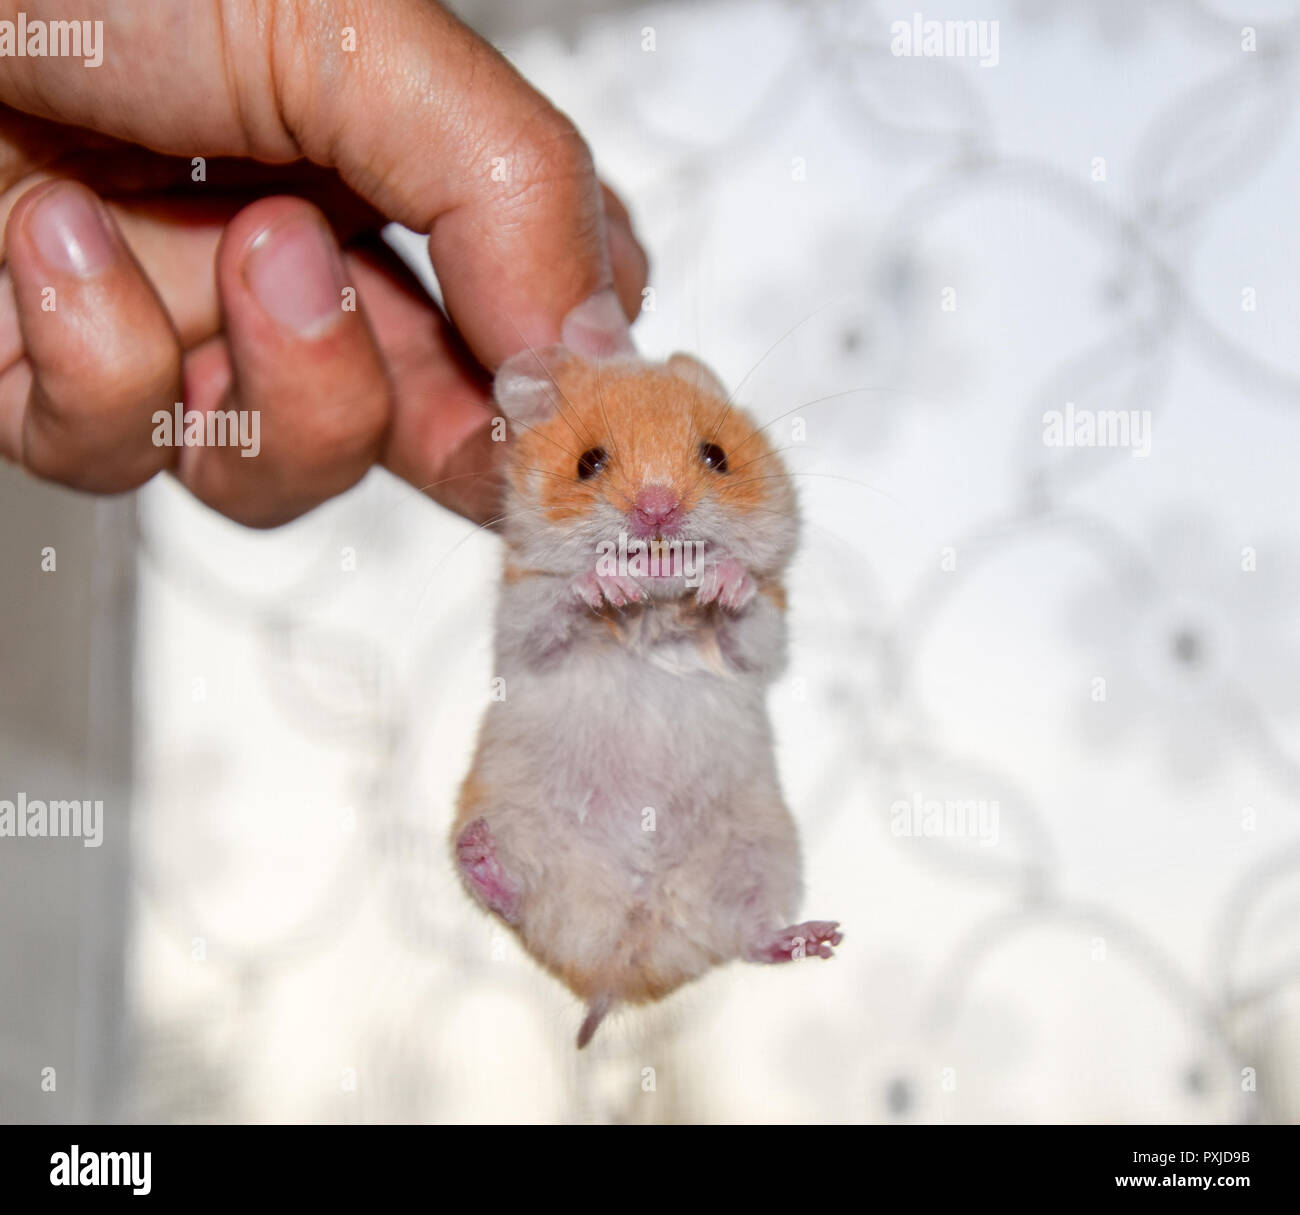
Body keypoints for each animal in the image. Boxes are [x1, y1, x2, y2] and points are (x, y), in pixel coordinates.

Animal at [451, 345, 842, 1048]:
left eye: (717, 456)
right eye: (588, 463)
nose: (658, 512)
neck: (657, 611)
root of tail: (620, 967)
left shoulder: (764, 640)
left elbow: (751, 625)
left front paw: (721, 581)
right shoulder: (522, 622)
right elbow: (555, 605)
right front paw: (606, 581)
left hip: (761, 854)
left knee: (744, 938)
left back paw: (816, 939)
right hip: (525, 828)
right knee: (520, 906)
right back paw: (479, 858)